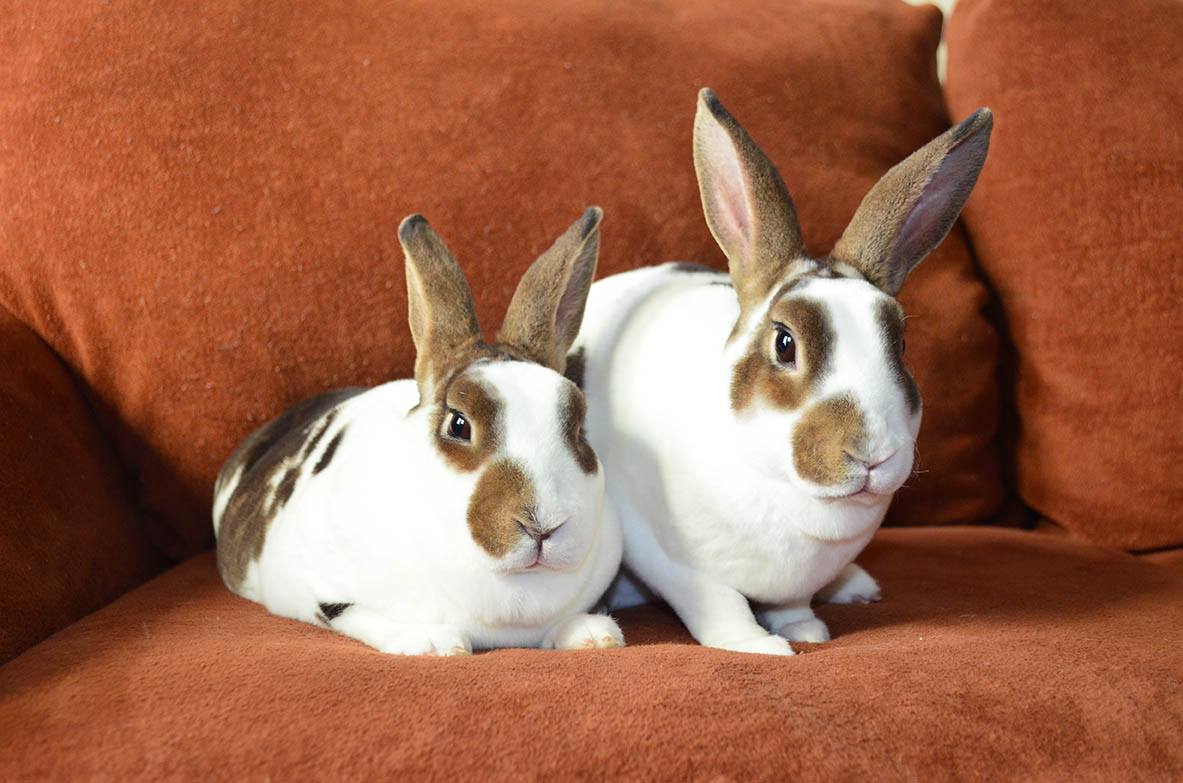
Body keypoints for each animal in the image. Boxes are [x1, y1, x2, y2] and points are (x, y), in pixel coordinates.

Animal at [212, 207, 624, 655]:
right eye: (459, 424)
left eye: (579, 427)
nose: (542, 525)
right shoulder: (325, 592)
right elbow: (362, 615)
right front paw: (434, 643)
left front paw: (594, 635)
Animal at [570, 89, 992, 655]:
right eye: (785, 344)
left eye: (900, 344)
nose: (871, 454)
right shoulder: (670, 558)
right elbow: (719, 602)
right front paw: (759, 646)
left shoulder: (795, 583)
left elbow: (794, 605)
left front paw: (805, 630)